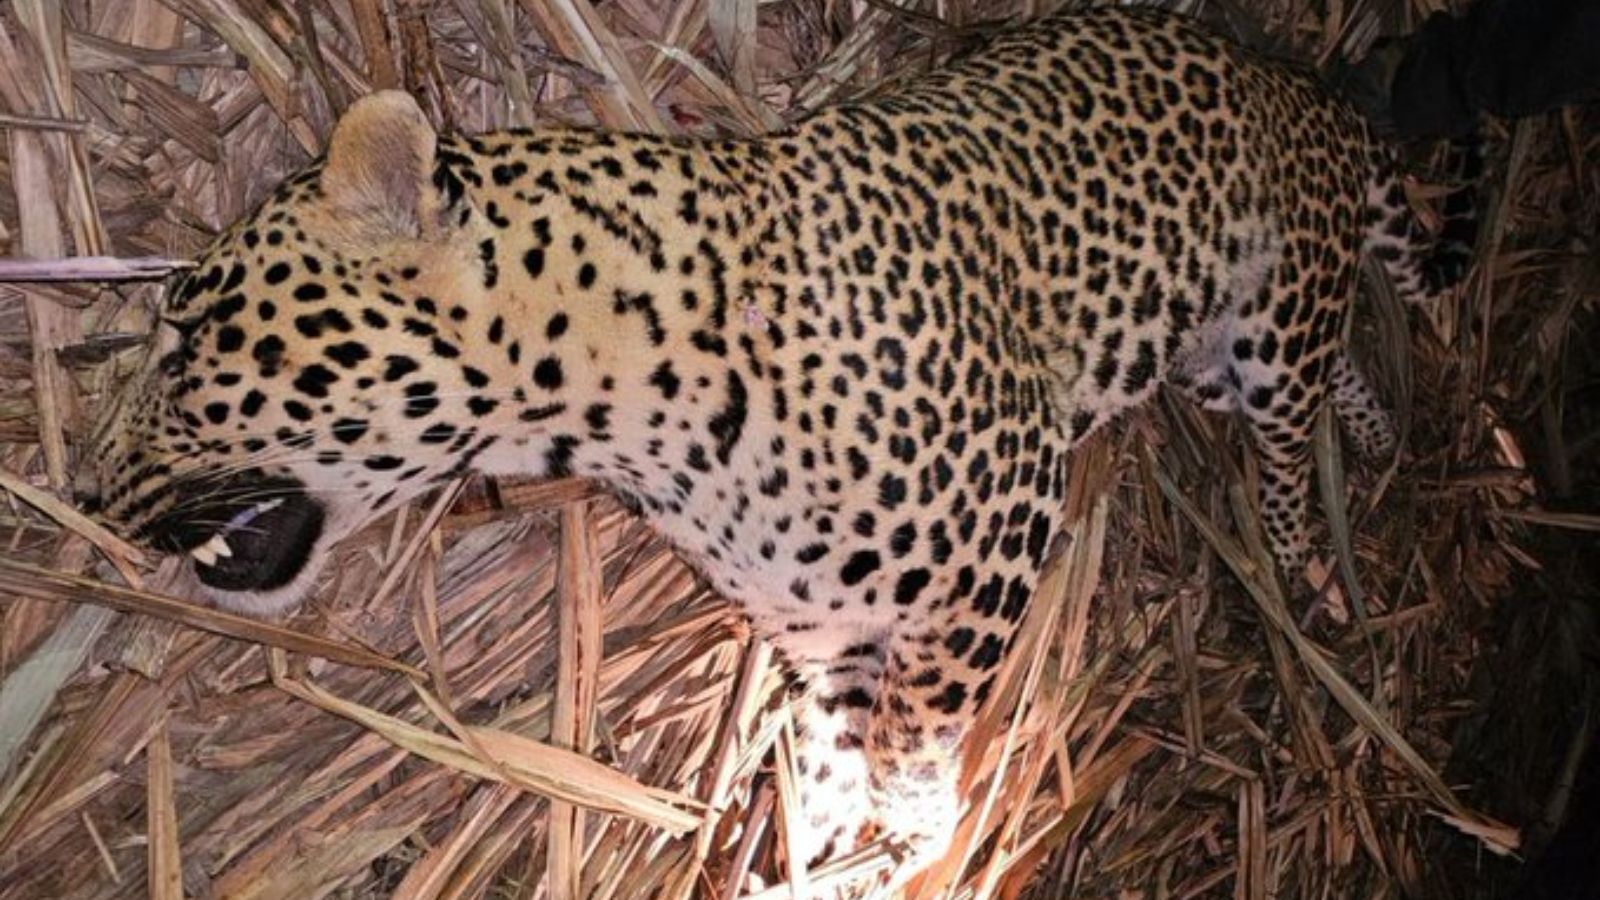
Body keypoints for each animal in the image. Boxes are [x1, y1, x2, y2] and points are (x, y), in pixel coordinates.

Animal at [77, 5, 1476, 881]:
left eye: (188, 338)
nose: (89, 493)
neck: (626, 419)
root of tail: (1298, 85)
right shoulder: (818, 626)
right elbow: (833, 752)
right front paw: (827, 846)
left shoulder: (997, 536)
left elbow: (913, 749)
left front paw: (920, 839)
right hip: (1211, 352)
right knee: (1337, 363)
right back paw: (1378, 431)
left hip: (1266, 321)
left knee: (1292, 433)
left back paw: (1308, 561)